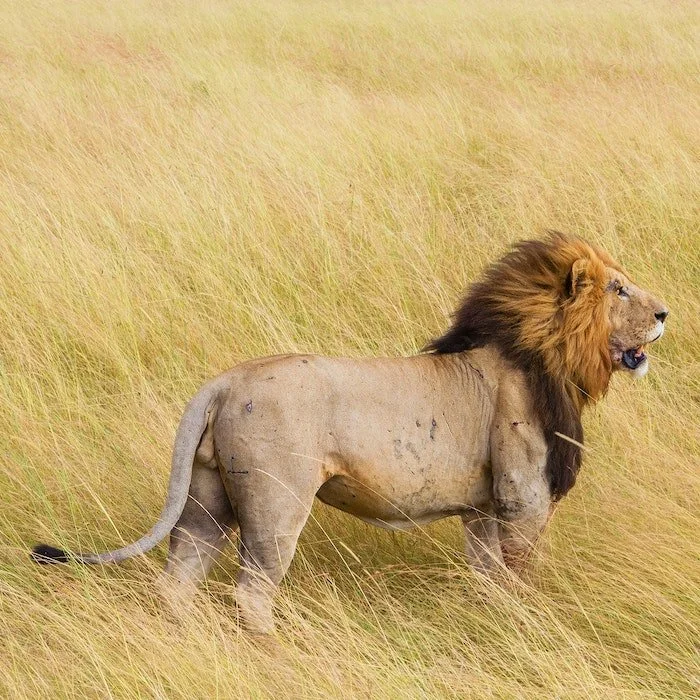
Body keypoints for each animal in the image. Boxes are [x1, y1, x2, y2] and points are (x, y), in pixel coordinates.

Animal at [32, 233, 668, 634]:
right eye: (618, 289)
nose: (665, 314)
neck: (547, 356)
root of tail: (224, 381)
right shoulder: (522, 499)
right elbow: (519, 578)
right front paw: (525, 627)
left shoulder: (484, 509)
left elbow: (488, 580)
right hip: (277, 503)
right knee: (251, 592)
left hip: (207, 500)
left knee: (177, 582)